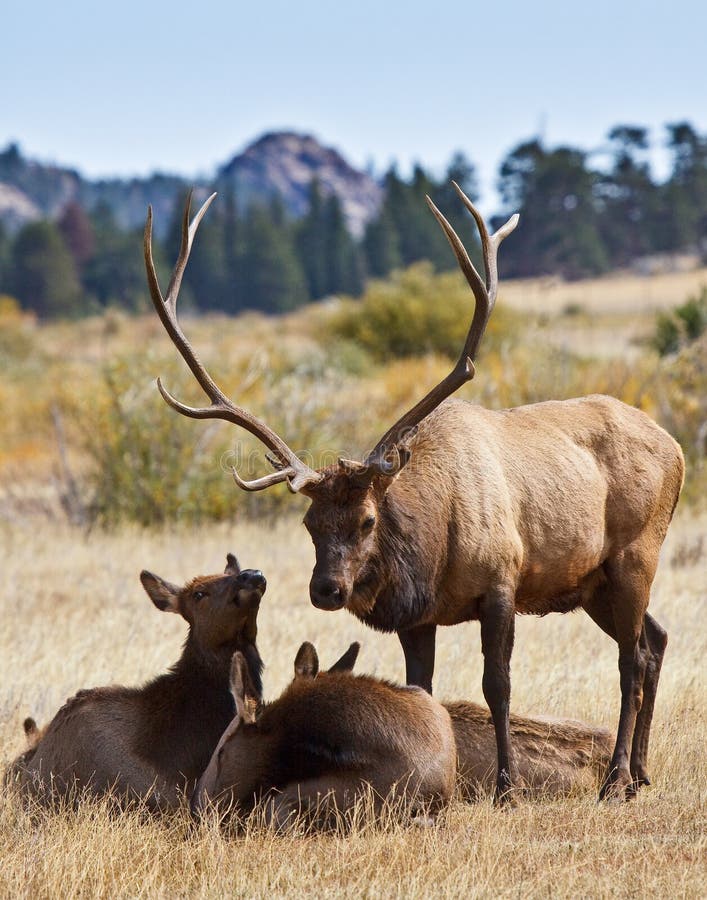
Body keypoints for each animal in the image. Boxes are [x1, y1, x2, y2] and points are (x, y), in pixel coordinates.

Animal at [144, 186, 684, 803]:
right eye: (309, 524)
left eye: (367, 520)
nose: (326, 589)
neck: (433, 554)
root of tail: (678, 449)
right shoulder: (418, 618)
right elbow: (419, 686)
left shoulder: (502, 582)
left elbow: (497, 685)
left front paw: (506, 786)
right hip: (592, 581)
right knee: (655, 641)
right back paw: (641, 771)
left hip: (636, 554)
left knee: (631, 660)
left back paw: (617, 778)